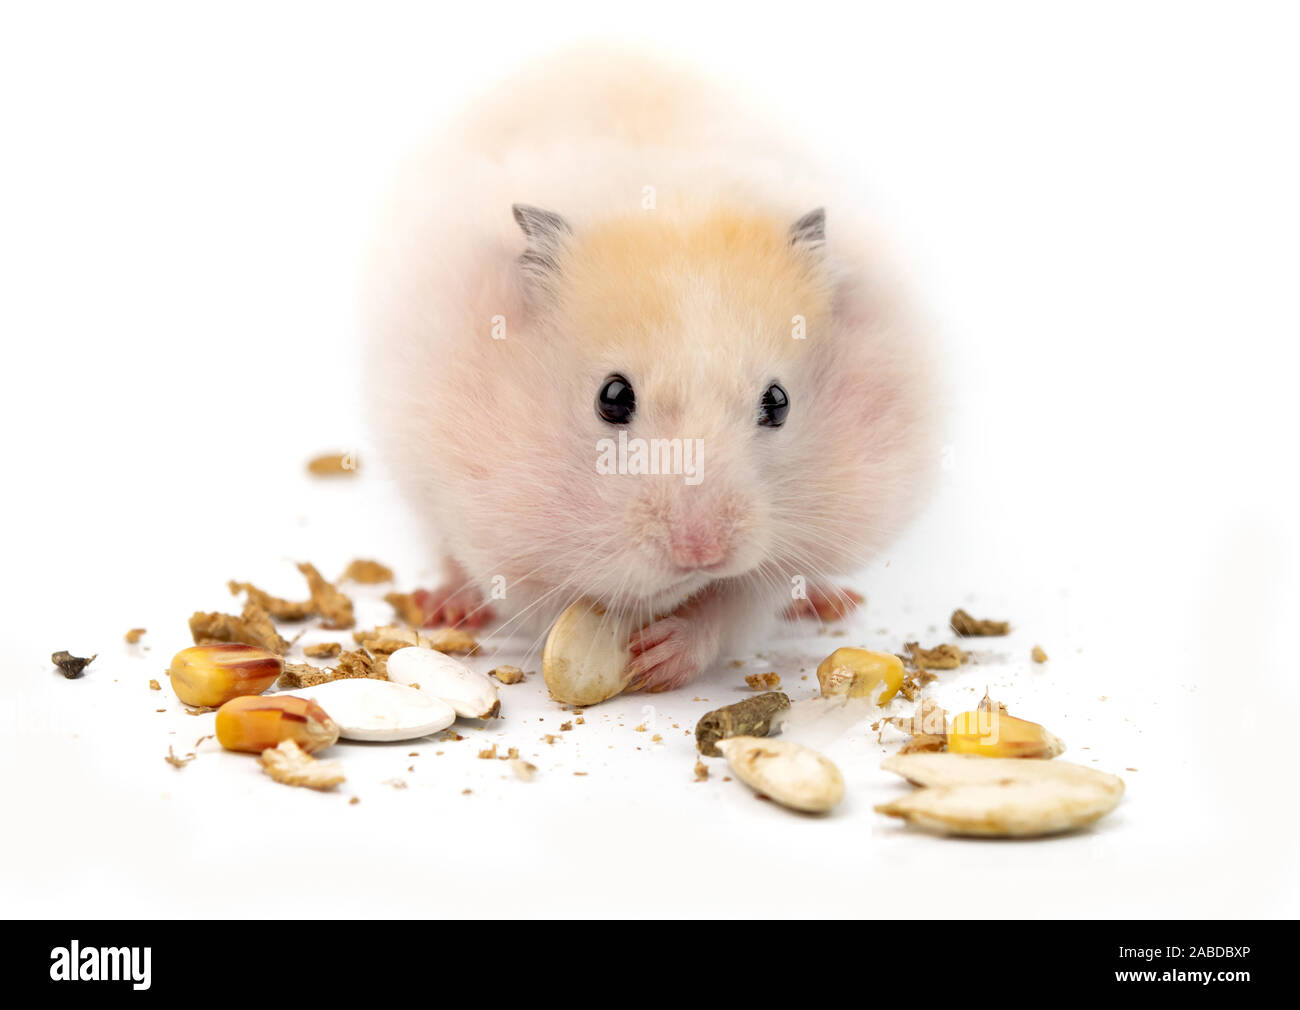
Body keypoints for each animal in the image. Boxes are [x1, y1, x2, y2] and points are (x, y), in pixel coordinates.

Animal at [364, 46, 938, 692]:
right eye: (612, 397)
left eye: (778, 402)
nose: (701, 554)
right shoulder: (491, 515)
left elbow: (738, 603)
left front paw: (658, 656)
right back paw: (445, 607)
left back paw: (829, 602)